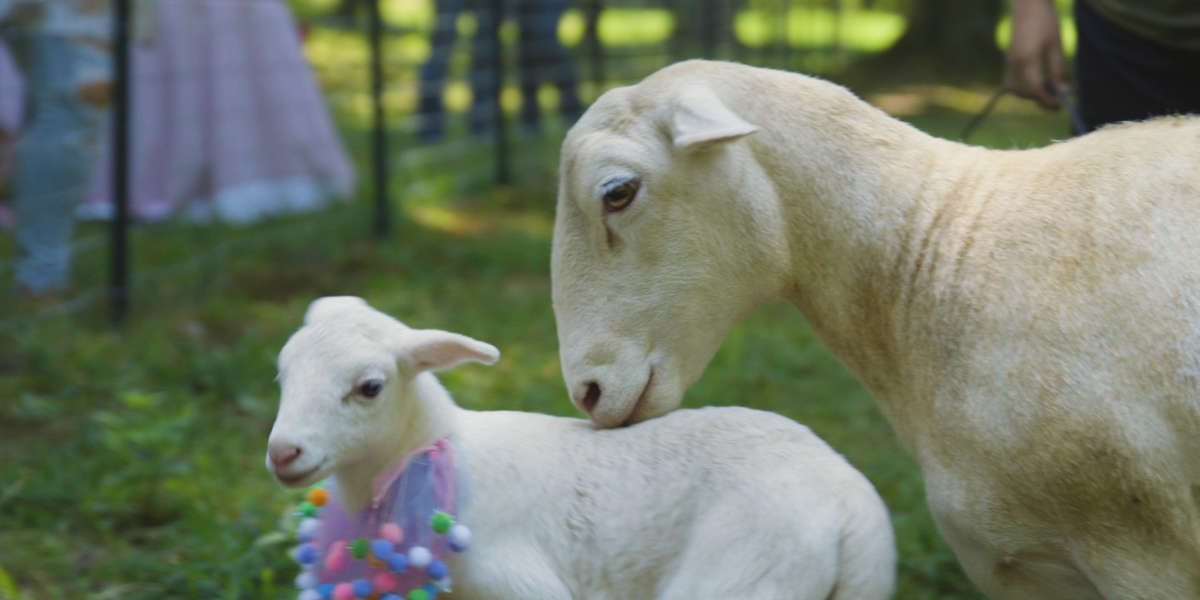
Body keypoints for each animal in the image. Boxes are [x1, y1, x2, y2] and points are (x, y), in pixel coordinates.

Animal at [267, 296, 896, 600]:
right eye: (282, 374)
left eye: (370, 387)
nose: (283, 454)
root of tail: (852, 504)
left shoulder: (521, 587)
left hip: (744, 576)